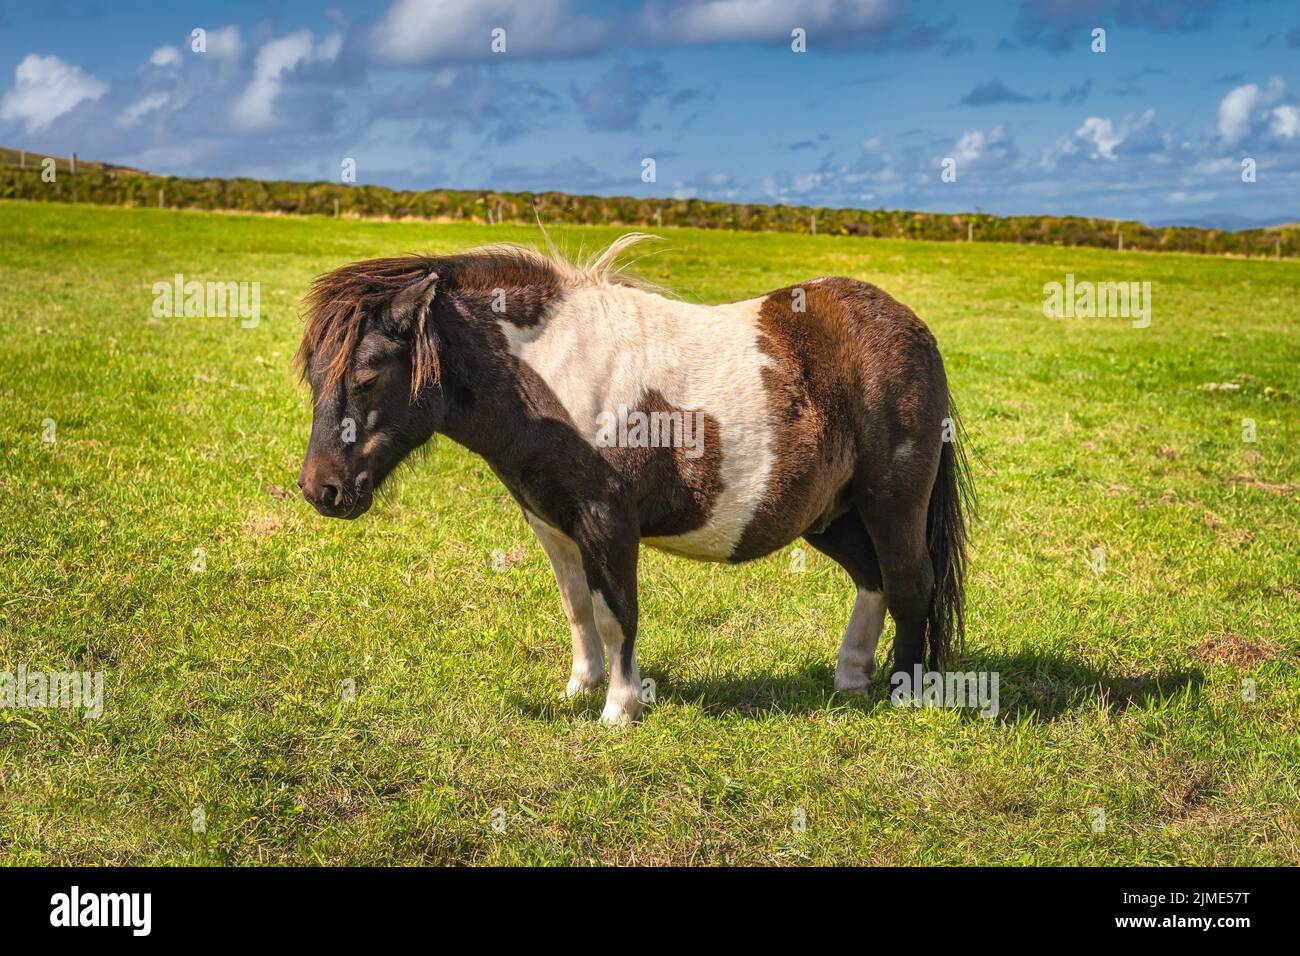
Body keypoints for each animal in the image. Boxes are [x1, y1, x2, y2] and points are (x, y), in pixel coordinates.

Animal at [295, 234, 972, 725]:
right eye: (313, 374)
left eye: (367, 375)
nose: (320, 490)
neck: (550, 375)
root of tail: (913, 329)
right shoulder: (552, 522)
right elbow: (578, 606)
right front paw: (581, 689)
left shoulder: (607, 519)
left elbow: (617, 612)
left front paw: (620, 709)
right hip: (830, 516)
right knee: (873, 579)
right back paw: (851, 678)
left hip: (891, 504)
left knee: (911, 584)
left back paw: (905, 693)